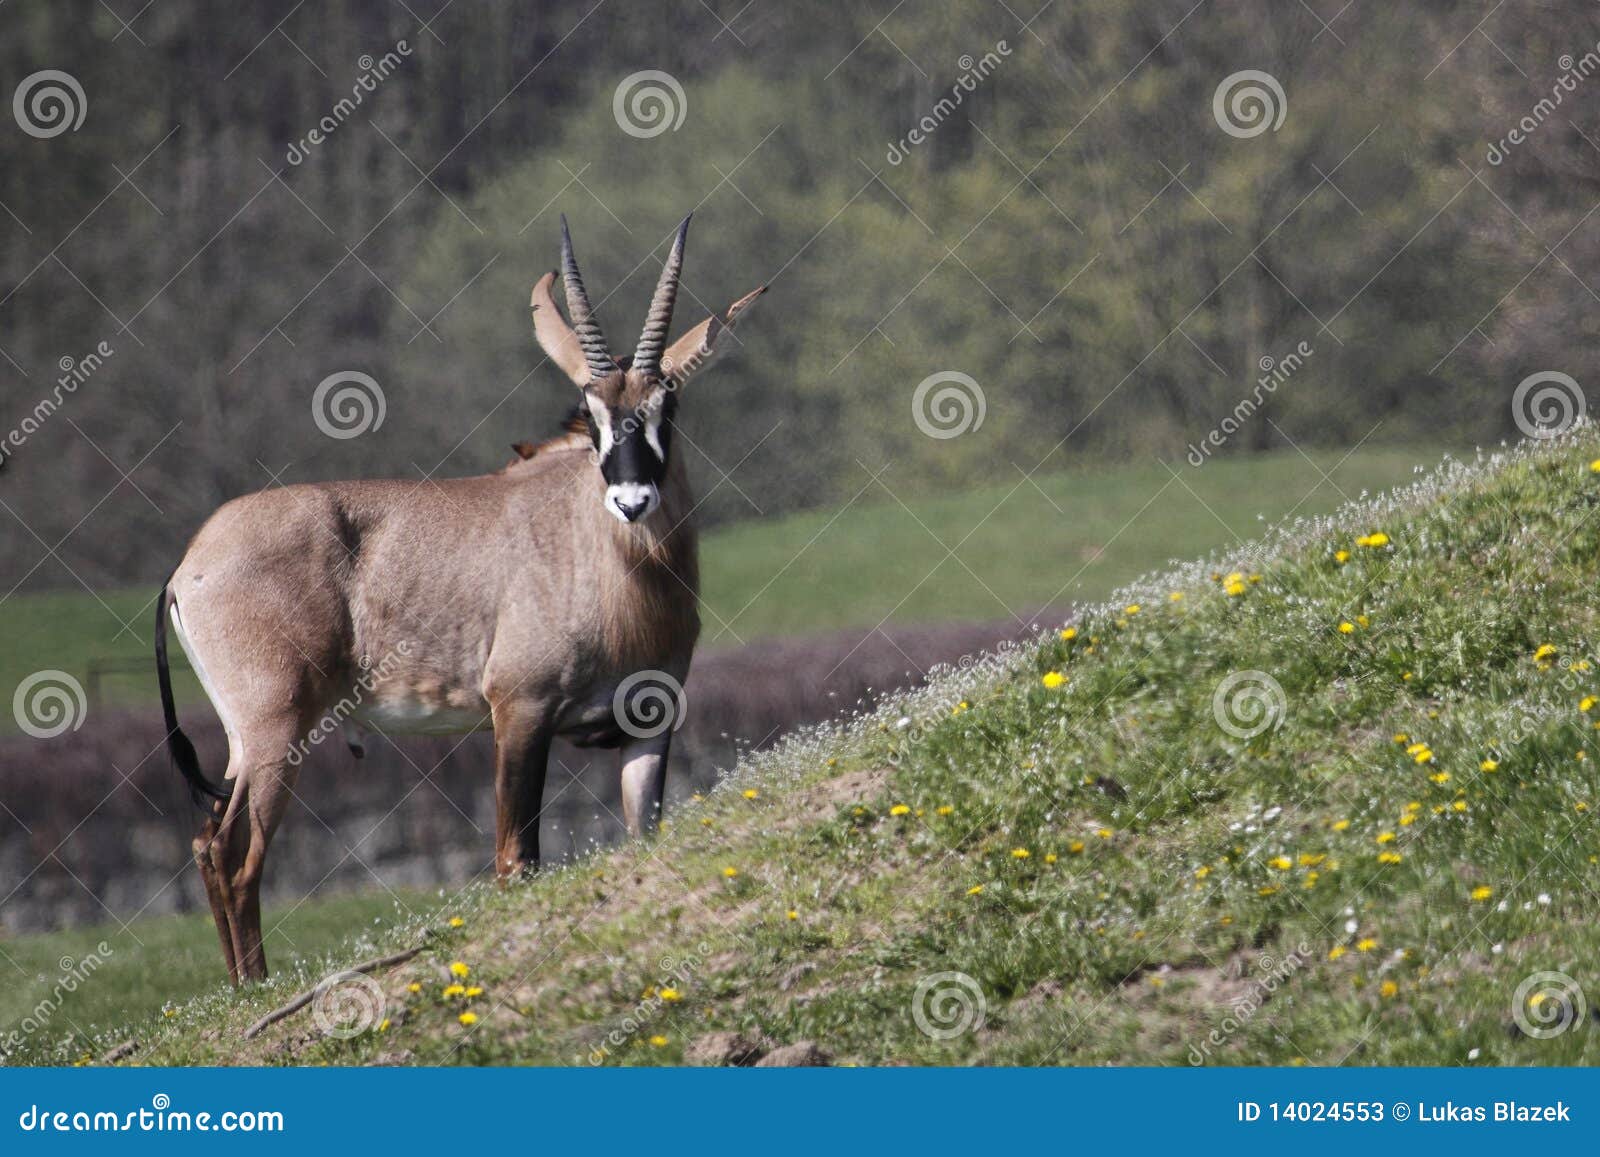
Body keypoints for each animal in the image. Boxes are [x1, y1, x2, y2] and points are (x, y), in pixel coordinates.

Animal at [154, 215, 765, 983]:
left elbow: (642, 834)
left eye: (667, 406)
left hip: (246, 741)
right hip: (274, 731)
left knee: (208, 843)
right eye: (592, 413)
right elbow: (516, 859)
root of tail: (188, 567)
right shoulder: (521, 712)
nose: (631, 501)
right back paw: (257, 990)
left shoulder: (647, 725)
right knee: (236, 853)